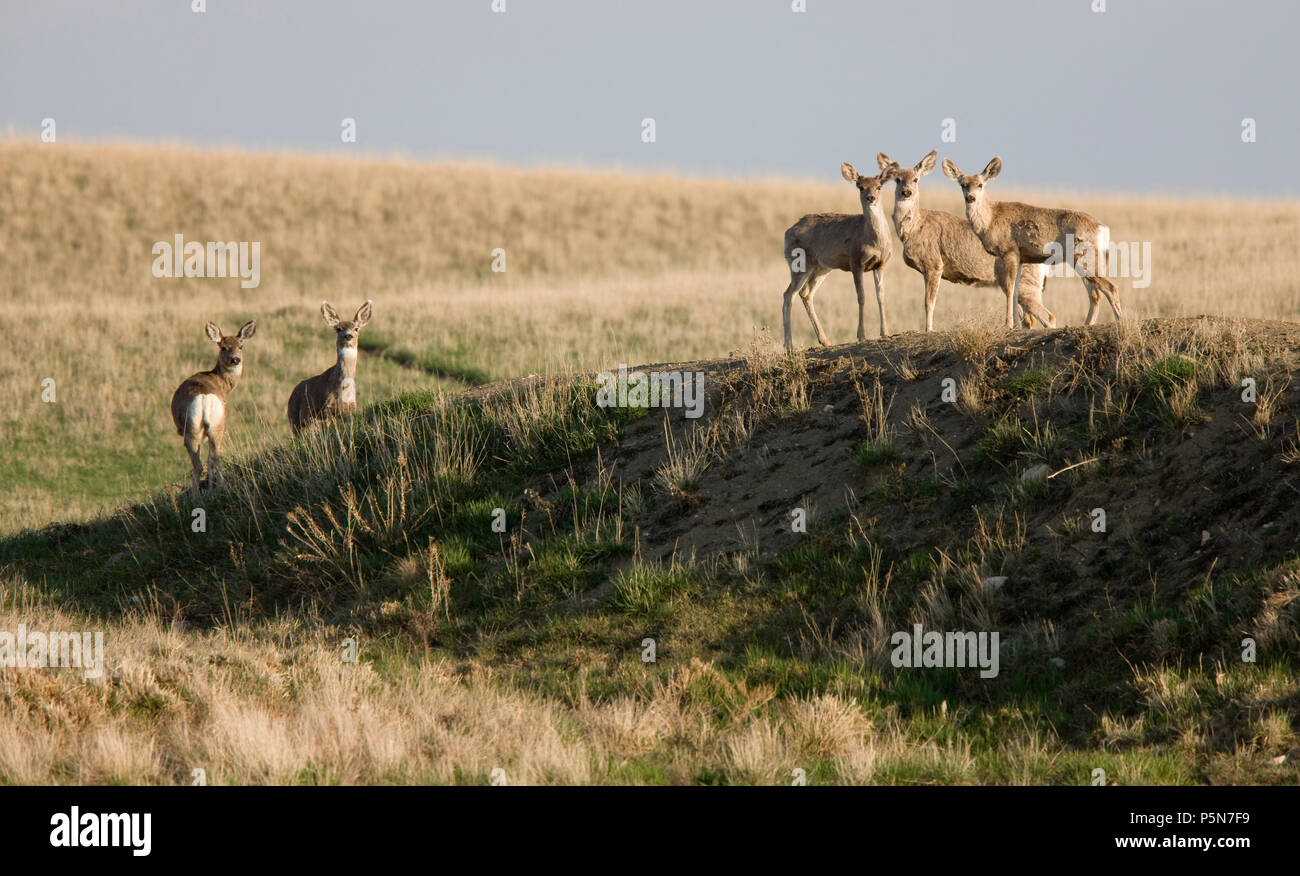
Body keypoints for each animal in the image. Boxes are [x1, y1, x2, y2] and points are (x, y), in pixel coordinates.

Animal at [169, 319, 257, 498]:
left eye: (241, 346)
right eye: (223, 347)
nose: (235, 359)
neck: (221, 384)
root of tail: (205, 398)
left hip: (192, 429)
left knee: (200, 463)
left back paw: (196, 496)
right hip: (217, 425)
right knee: (214, 456)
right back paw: (218, 487)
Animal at [286, 300, 373, 435]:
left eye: (356, 328)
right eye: (338, 329)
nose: (348, 336)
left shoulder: (350, 410)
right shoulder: (326, 409)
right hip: (295, 419)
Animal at [781, 161, 893, 351]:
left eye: (879, 186)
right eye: (860, 186)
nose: (871, 198)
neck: (873, 241)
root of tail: (788, 232)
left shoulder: (881, 264)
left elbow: (881, 296)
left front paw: (885, 332)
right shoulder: (855, 262)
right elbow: (861, 296)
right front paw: (861, 335)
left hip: (821, 268)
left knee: (805, 293)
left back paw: (825, 340)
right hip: (800, 263)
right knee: (788, 295)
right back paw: (789, 347)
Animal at [877, 150, 1056, 331]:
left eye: (915, 179)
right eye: (898, 179)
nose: (906, 192)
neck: (915, 227)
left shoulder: (934, 264)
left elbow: (929, 303)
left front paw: (929, 330)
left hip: (1027, 285)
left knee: (1048, 316)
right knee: (1029, 318)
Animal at [942, 156, 1122, 329]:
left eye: (980, 184)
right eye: (963, 184)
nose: (970, 198)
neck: (991, 219)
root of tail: (1103, 229)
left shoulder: (1009, 251)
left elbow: (1009, 289)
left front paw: (1008, 325)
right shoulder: (1022, 258)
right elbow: (1015, 291)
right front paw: (1016, 326)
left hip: (1084, 258)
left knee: (1110, 288)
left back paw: (1120, 322)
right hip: (1084, 260)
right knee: (1095, 293)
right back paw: (1086, 324)